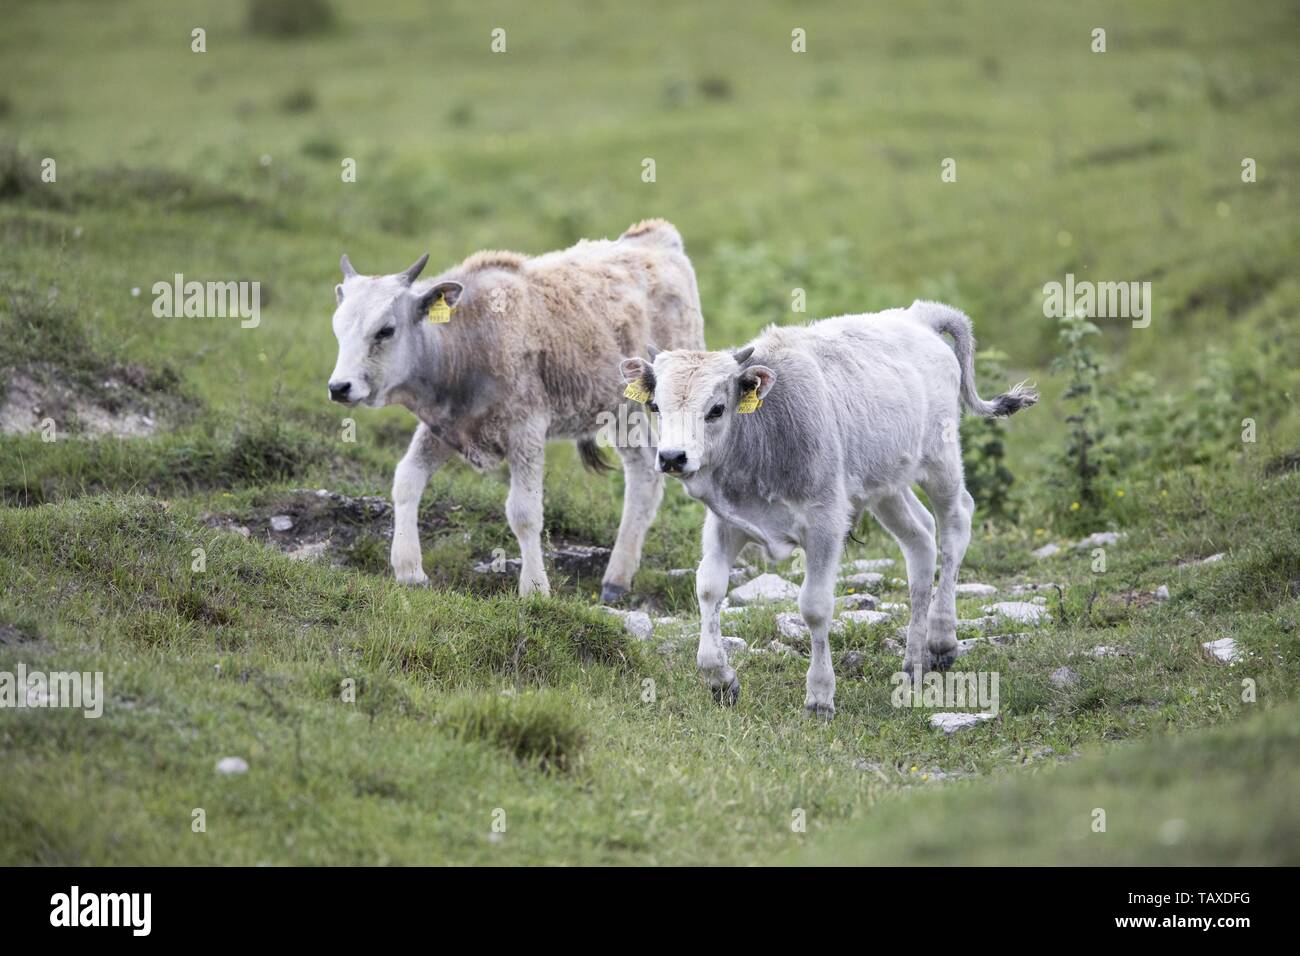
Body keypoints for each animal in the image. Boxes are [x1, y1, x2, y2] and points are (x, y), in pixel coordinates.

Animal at [328, 219, 705, 601]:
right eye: (338, 329)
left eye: (385, 330)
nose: (339, 387)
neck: (467, 340)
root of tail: (656, 238)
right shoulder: (444, 427)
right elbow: (407, 480)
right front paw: (409, 571)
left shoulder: (525, 431)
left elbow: (524, 512)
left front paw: (535, 588)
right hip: (620, 409)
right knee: (643, 470)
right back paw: (616, 579)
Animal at [620, 301, 1037, 717]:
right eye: (656, 406)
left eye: (717, 409)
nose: (672, 457)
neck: (764, 431)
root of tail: (917, 315)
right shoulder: (727, 524)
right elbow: (709, 588)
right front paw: (721, 680)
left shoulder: (825, 523)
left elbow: (815, 607)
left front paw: (820, 696)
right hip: (886, 486)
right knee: (920, 540)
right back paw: (914, 663)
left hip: (940, 463)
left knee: (955, 525)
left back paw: (941, 641)